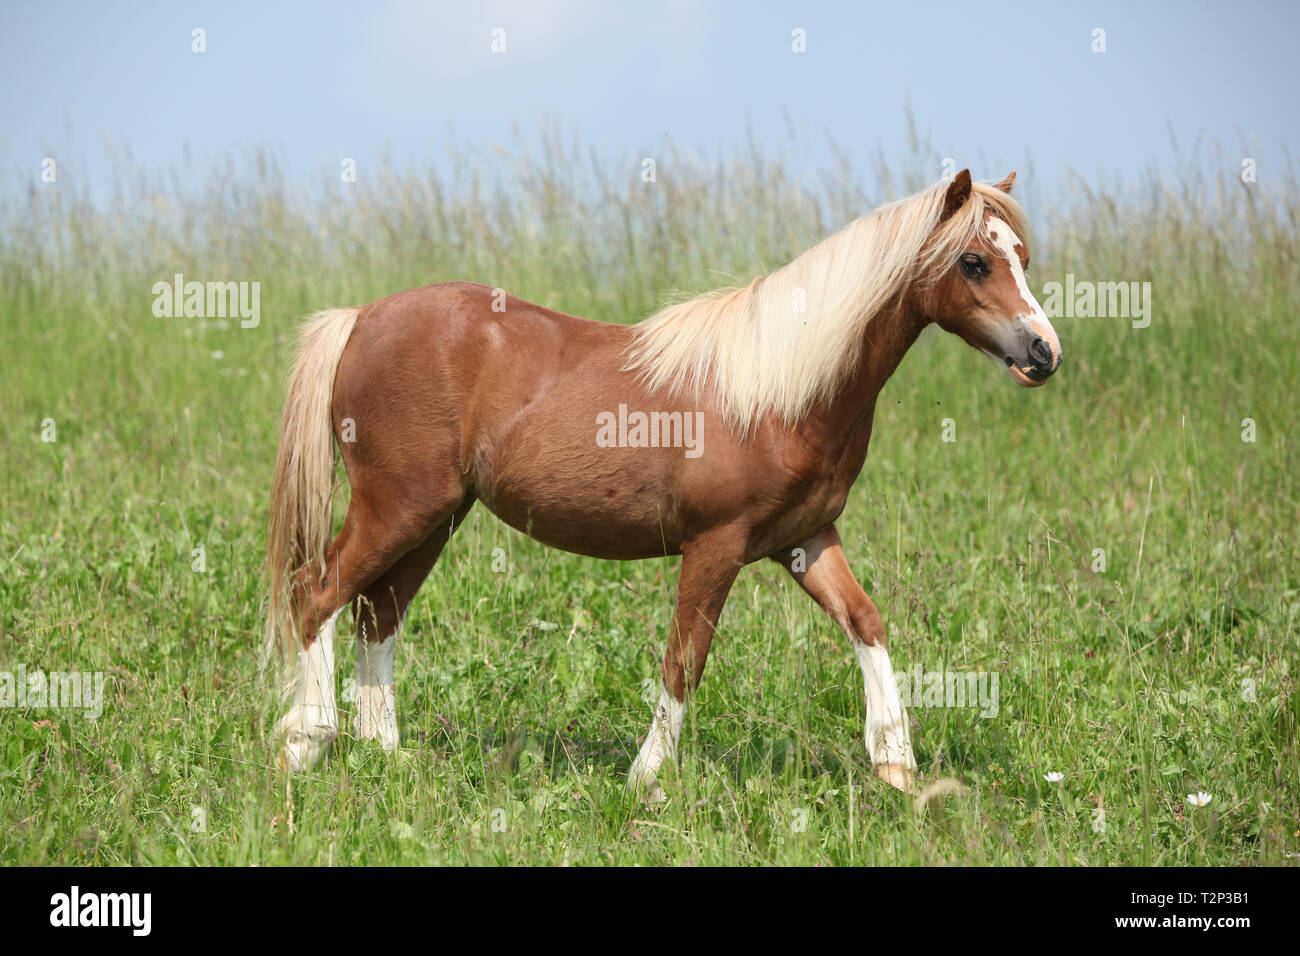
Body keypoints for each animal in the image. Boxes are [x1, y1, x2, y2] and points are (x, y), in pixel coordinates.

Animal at [265, 169, 1062, 800]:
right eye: (974, 261)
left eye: (1020, 256)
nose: (1044, 352)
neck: (783, 389)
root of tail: (361, 318)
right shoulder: (716, 546)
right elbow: (686, 659)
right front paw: (648, 777)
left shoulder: (806, 540)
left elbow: (867, 622)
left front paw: (895, 763)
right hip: (398, 508)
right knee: (316, 594)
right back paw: (307, 743)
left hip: (435, 518)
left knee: (377, 614)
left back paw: (384, 756)